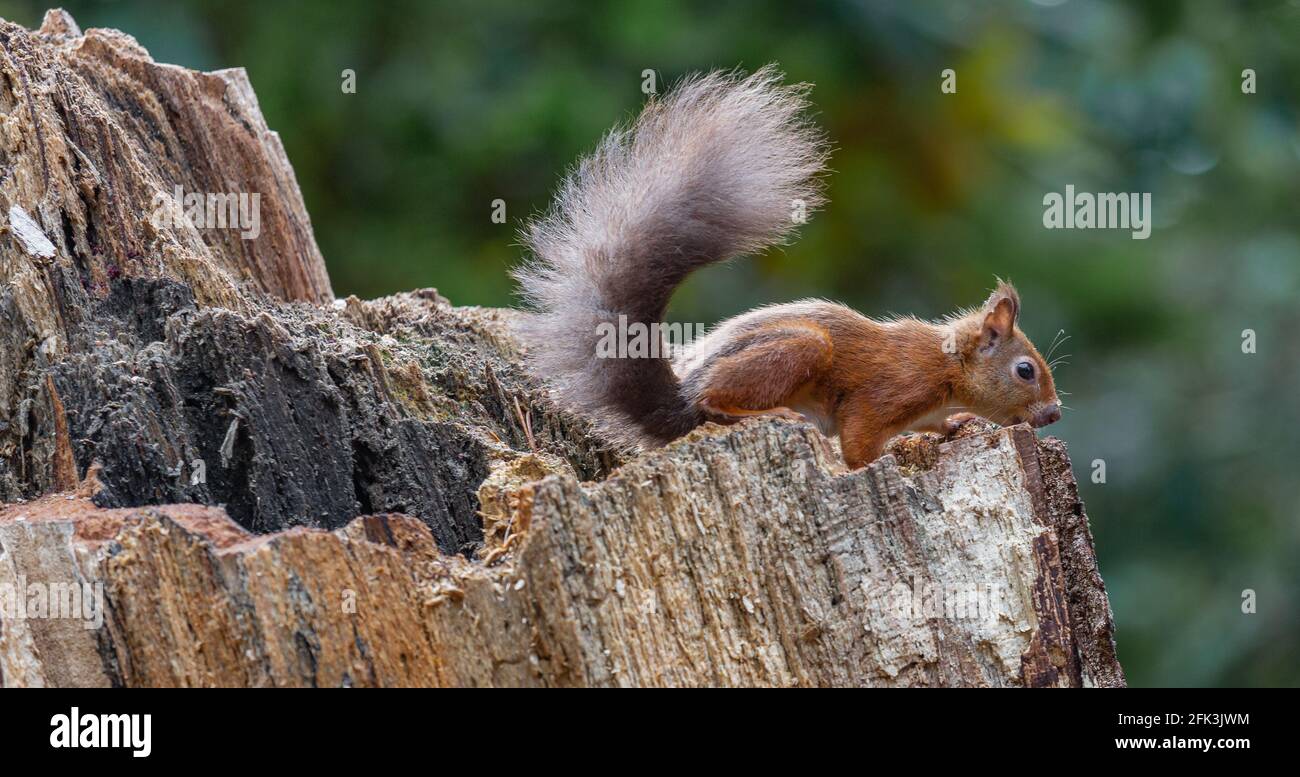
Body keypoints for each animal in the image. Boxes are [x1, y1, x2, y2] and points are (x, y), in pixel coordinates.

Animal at [514, 66, 1061, 469]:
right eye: (1025, 370)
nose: (1055, 413)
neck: (947, 367)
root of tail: (679, 402)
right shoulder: (885, 396)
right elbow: (859, 445)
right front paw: (871, 465)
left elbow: (933, 424)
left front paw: (955, 426)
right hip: (799, 349)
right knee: (714, 401)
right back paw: (766, 411)